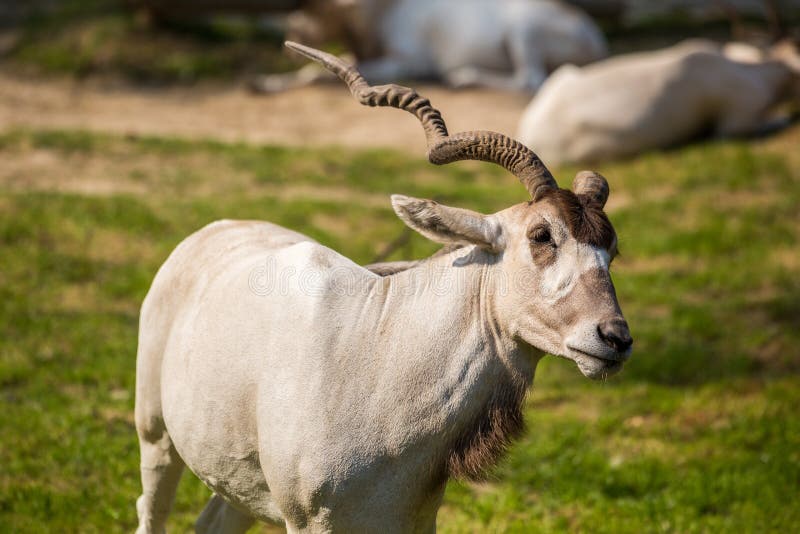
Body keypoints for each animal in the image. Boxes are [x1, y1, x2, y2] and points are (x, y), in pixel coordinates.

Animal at [135, 42, 632, 534]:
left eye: (612, 249)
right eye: (541, 234)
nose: (615, 339)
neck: (385, 354)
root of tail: (215, 231)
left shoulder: (412, 520)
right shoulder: (309, 520)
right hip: (156, 436)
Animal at [251, 0, 608, 93]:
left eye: (319, 9)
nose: (289, 34)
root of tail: (596, 39)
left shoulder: (407, 61)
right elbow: (316, 67)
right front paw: (266, 83)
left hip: (524, 30)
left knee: (530, 79)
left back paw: (461, 78)